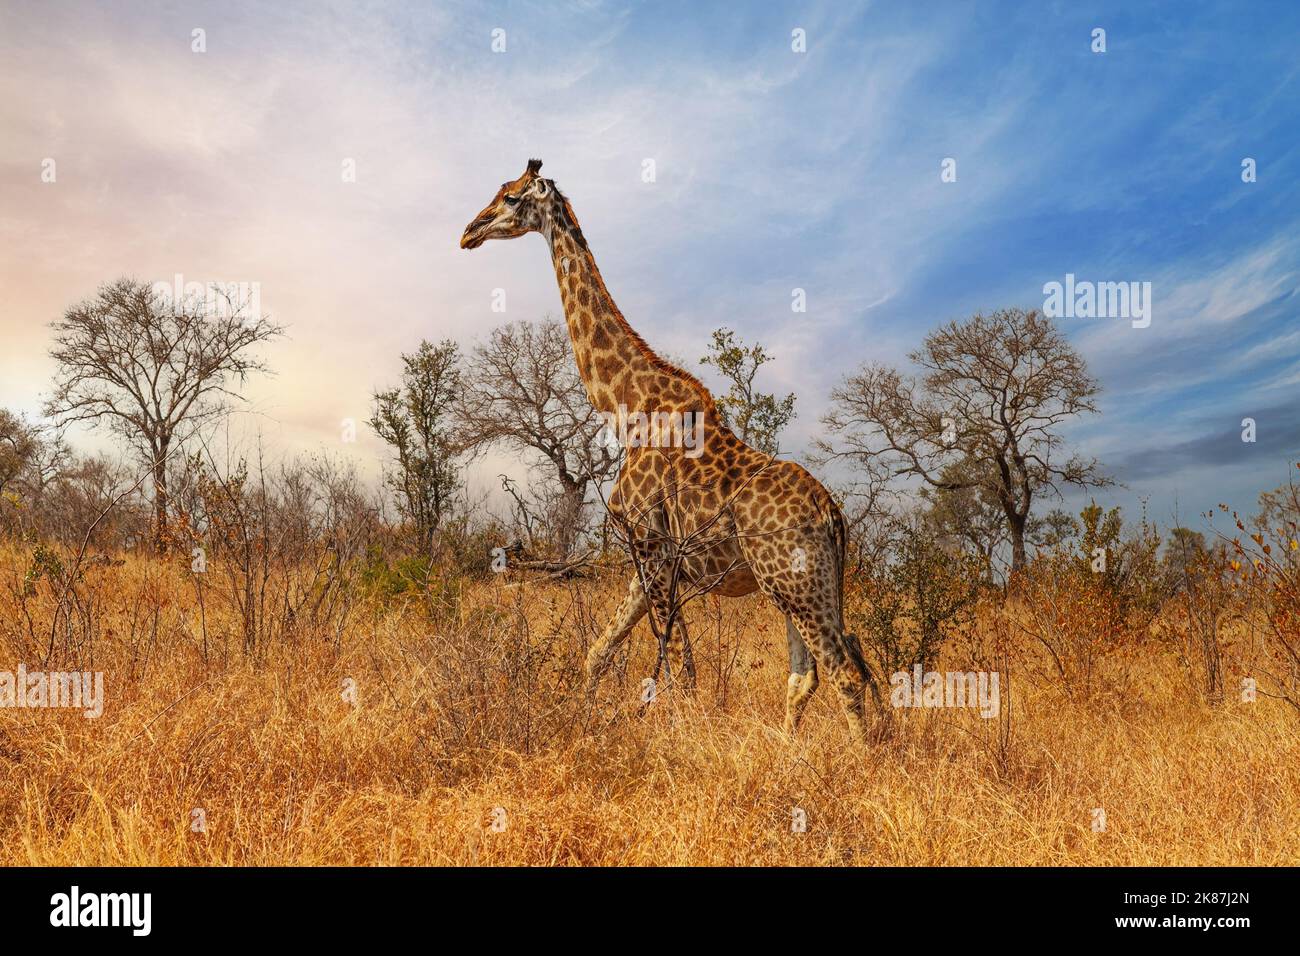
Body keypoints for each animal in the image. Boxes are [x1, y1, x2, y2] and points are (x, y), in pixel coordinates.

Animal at [461, 159, 880, 743]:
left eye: (510, 196)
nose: (468, 231)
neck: (625, 407)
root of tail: (833, 514)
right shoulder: (648, 560)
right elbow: (599, 653)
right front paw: (583, 718)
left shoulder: (653, 546)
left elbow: (681, 670)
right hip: (803, 585)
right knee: (812, 671)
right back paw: (795, 749)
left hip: (794, 582)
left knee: (844, 670)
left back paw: (864, 759)